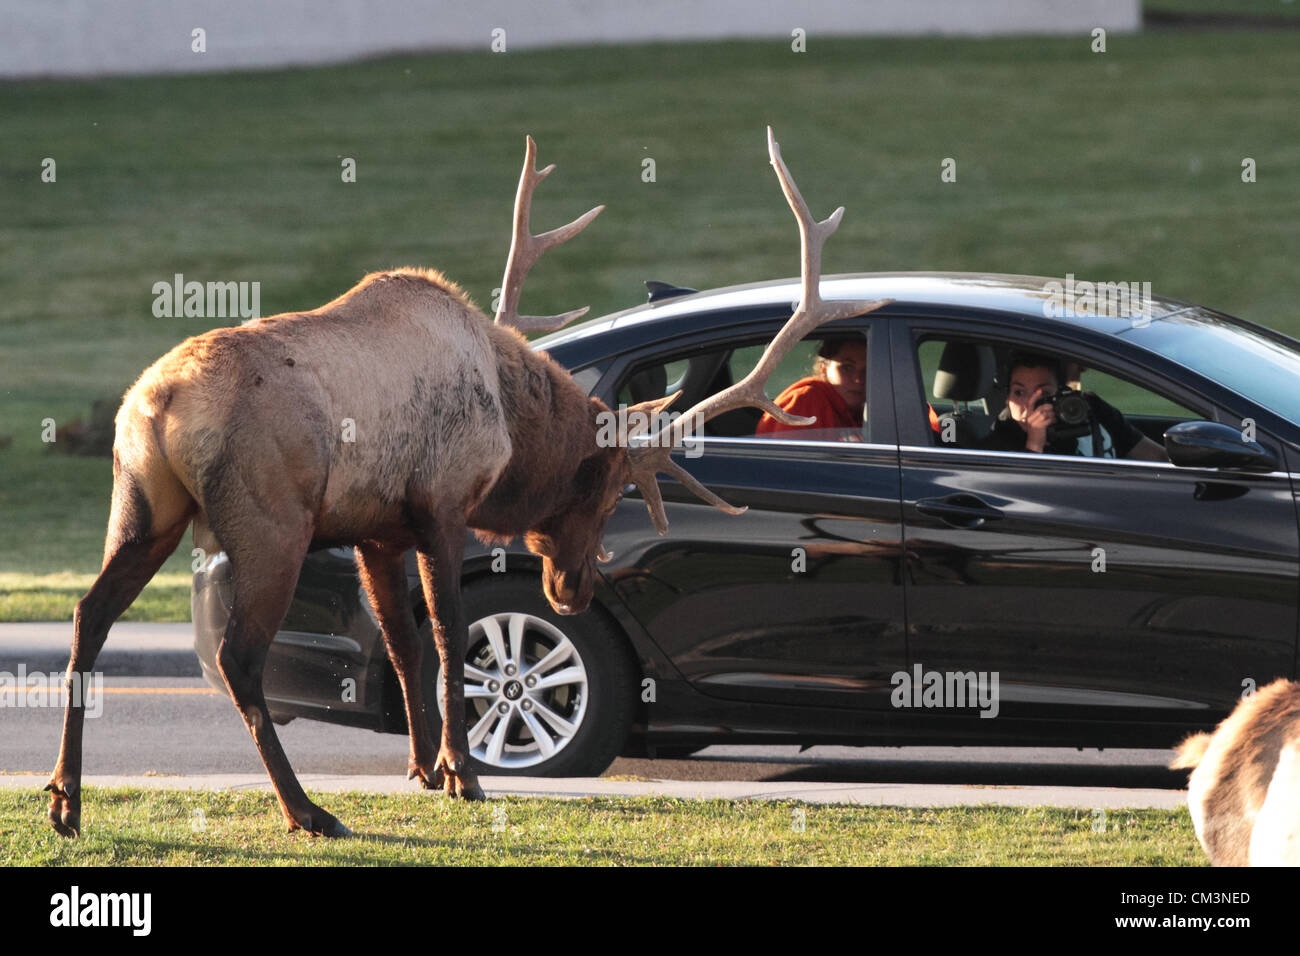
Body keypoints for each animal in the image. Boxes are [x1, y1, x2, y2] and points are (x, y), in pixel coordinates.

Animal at [45, 127, 891, 838]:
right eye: (608, 490)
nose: (573, 591)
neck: (511, 422)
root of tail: (158, 406)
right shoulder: (441, 507)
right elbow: (451, 634)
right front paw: (463, 775)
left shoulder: (376, 532)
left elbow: (400, 640)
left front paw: (422, 767)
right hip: (270, 525)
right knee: (238, 659)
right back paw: (307, 811)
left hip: (142, 507)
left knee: (90, 616)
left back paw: (66, 801)